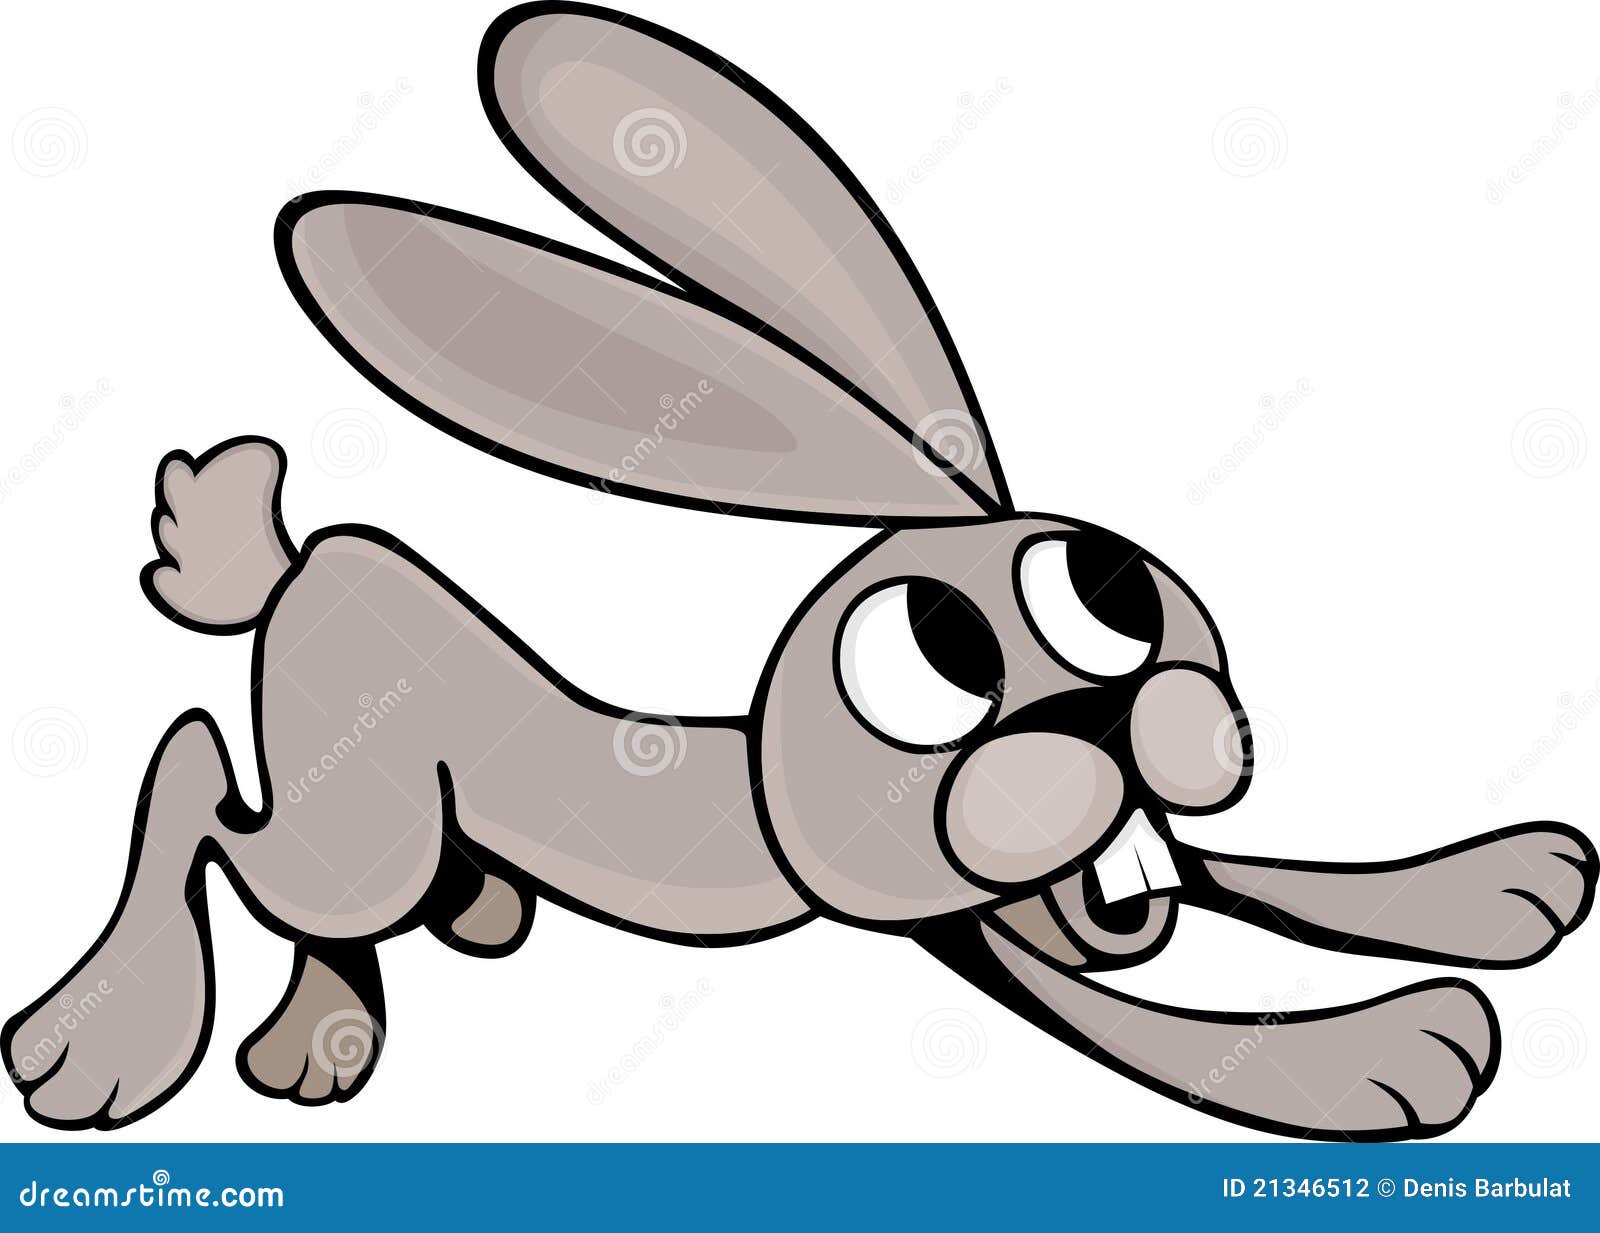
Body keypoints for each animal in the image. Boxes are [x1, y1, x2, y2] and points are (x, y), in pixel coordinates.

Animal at [5, 1, 1595, 1141]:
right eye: (934, 660)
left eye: (1110, 597)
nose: (1096, 716)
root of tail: (306, 566)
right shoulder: (974, 931)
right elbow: (1166, 1034)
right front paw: (1397, 1047)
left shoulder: (1114, 869)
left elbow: (1263, 869)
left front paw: (1503, 882)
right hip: (355, 814)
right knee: (200, 777)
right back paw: (128, 1041)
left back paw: (408, 971)